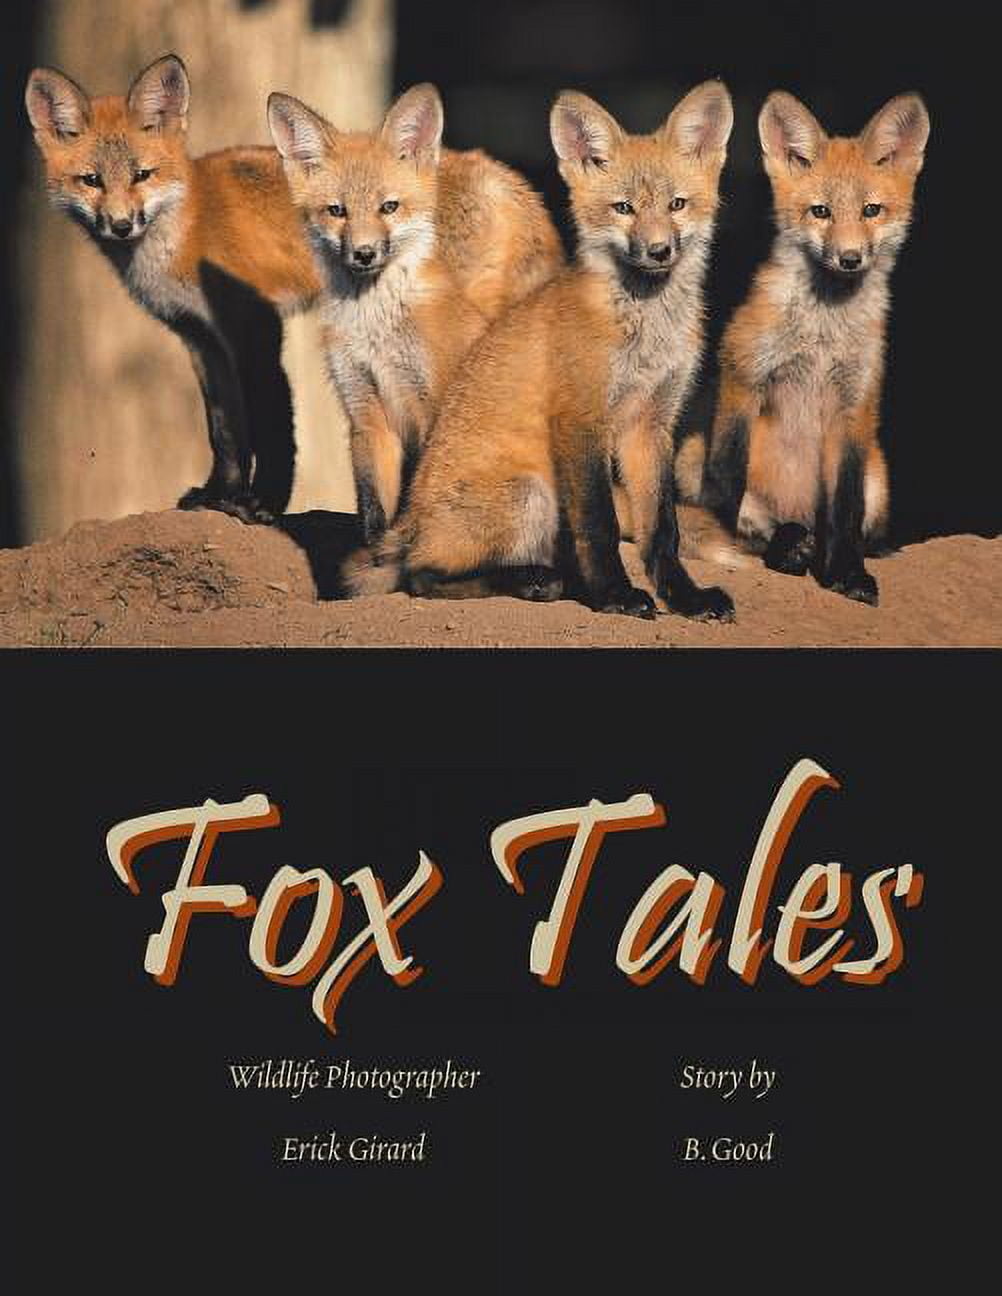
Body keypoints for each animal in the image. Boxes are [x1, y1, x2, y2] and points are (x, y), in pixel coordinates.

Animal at [25, 53, 321, 522]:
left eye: (142, 175)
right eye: (91, 180)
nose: (121, 225)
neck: (189, 234)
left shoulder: (257, 325)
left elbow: (272, 421)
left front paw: (265, 503)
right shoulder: (200, 337)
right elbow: (225, 430)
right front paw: (219, 495)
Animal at [267, 84, 563, 545]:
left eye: (389, 207)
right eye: (337, 211)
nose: (364, 253)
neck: (377, 333)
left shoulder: (432, 408)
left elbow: (417, 495)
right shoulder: (366, 412)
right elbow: (374, 511)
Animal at [343, 82, 736, 620]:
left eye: (677, 204)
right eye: (623, 208)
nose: (659, 252)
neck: (643, 330)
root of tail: (410, 520)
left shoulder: (652, 422)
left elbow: (662, 531)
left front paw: (685, 597)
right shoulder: (580, 418)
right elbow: (601, 526)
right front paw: (615, 596)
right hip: (530, 495)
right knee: (420, 576)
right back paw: (533, 581)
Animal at [677, 90, 930, 605]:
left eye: (871, 211)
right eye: (821, 212)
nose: (850, 258)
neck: (822, 333)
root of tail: (793, 512)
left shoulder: (855, 408)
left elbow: (844, 514)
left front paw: (846, 573)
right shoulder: (743, 380)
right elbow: (729, 491)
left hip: (879, 476)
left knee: (842, 526)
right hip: (692, 456)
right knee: (761, 533)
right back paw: (789, 548)